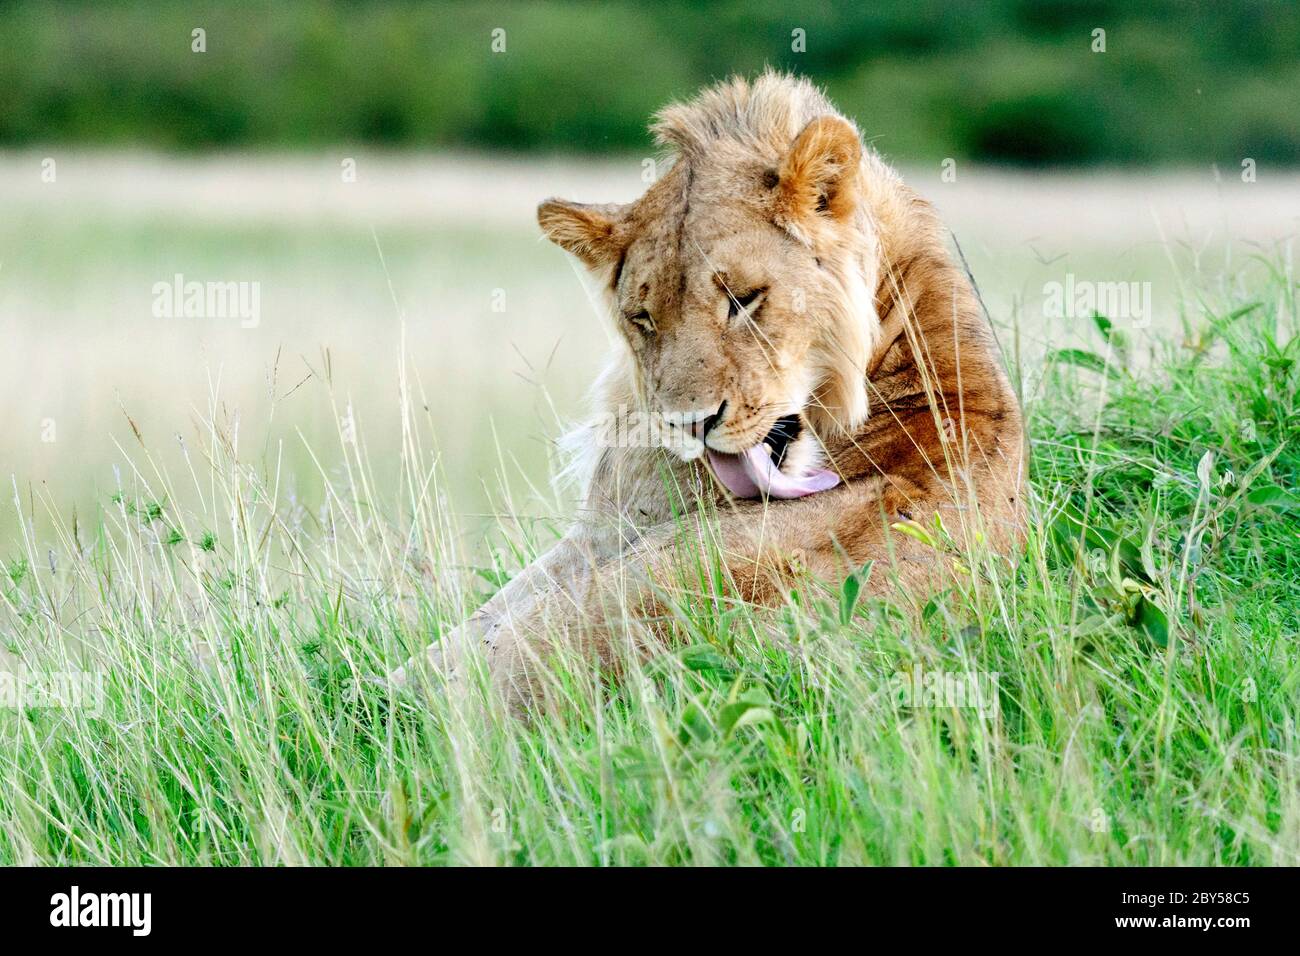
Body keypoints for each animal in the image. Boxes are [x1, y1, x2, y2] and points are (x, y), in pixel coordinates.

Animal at [391, 71, 1026, 712]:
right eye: (643, 317)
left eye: (744, 300)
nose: (688, 424)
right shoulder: (600, 533)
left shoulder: (610, 535)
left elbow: (437, 654)